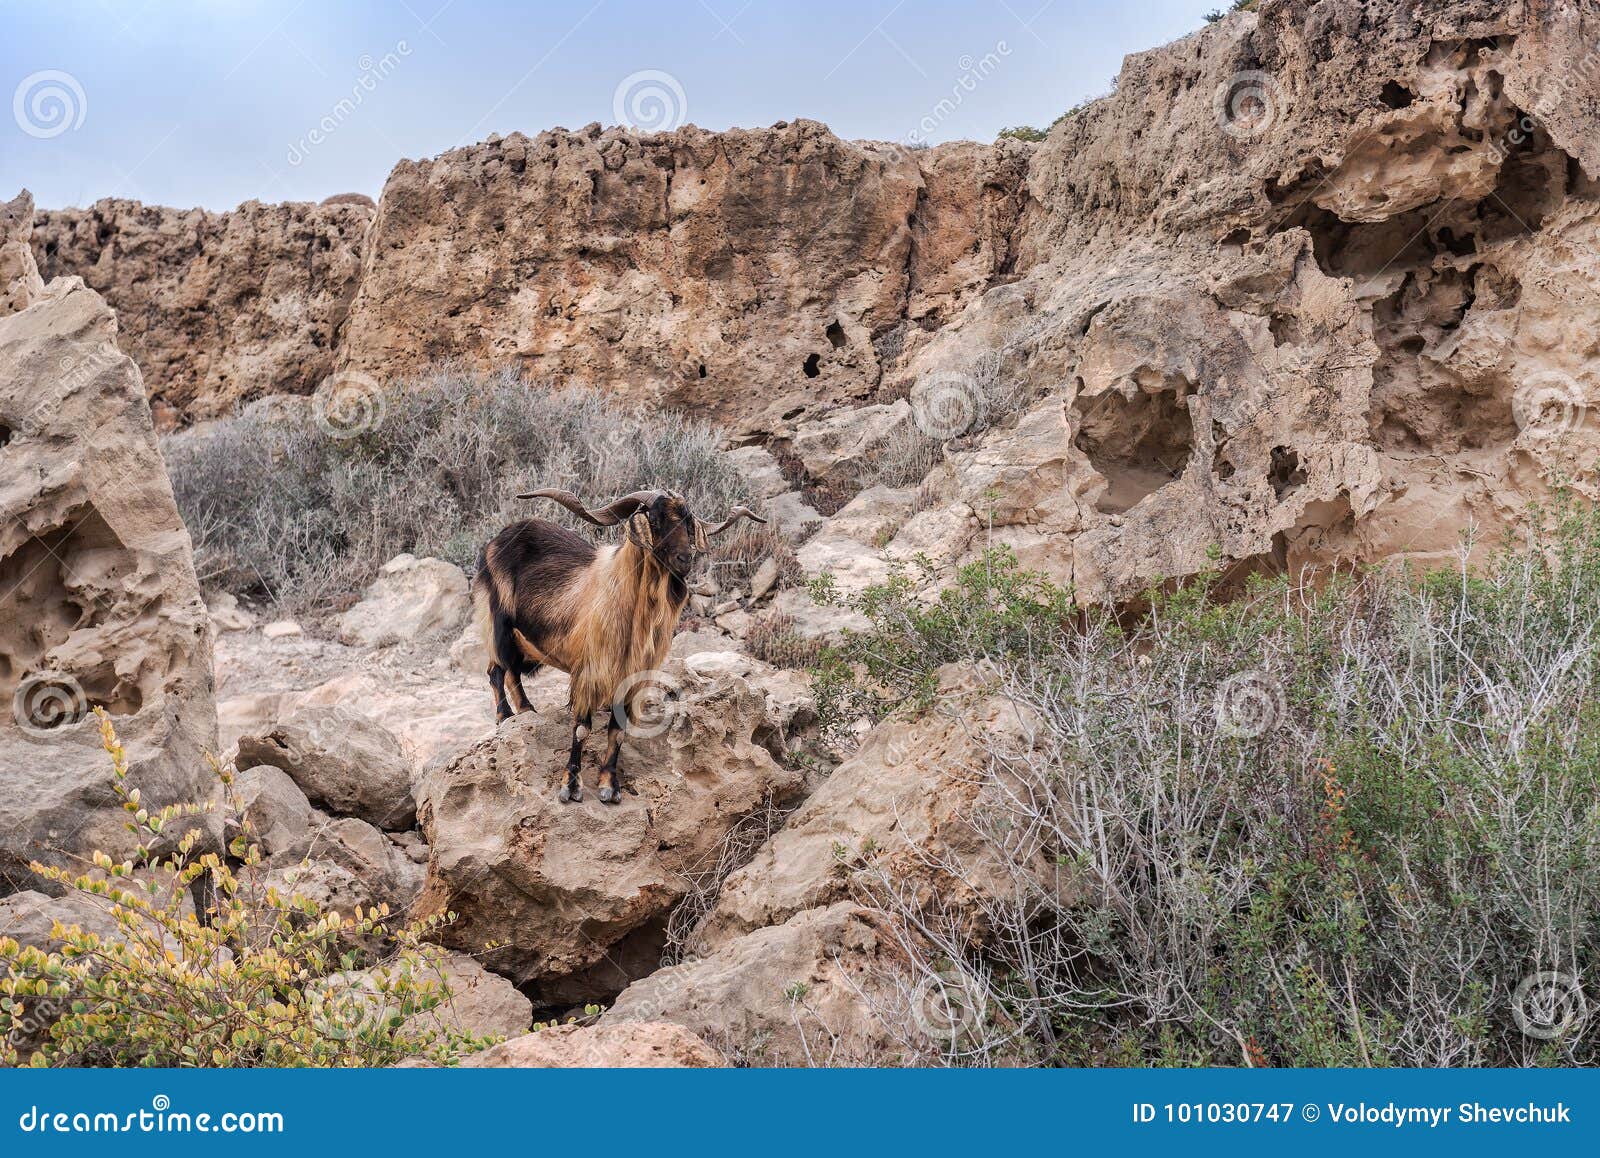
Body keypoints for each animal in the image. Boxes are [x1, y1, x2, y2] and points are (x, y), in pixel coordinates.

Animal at [473, 488, 765, 804]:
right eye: (654, 520)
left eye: (688, 523)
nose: (684, 559)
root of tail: (498, 538)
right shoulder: (589, 671)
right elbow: (581, 729)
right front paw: (570, 786)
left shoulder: (630, 677)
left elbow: (619, 732)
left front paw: (609, 786)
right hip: (498, 623)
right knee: (496, 670)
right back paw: (505, 716)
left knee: (511, 672)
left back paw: (527, 710)